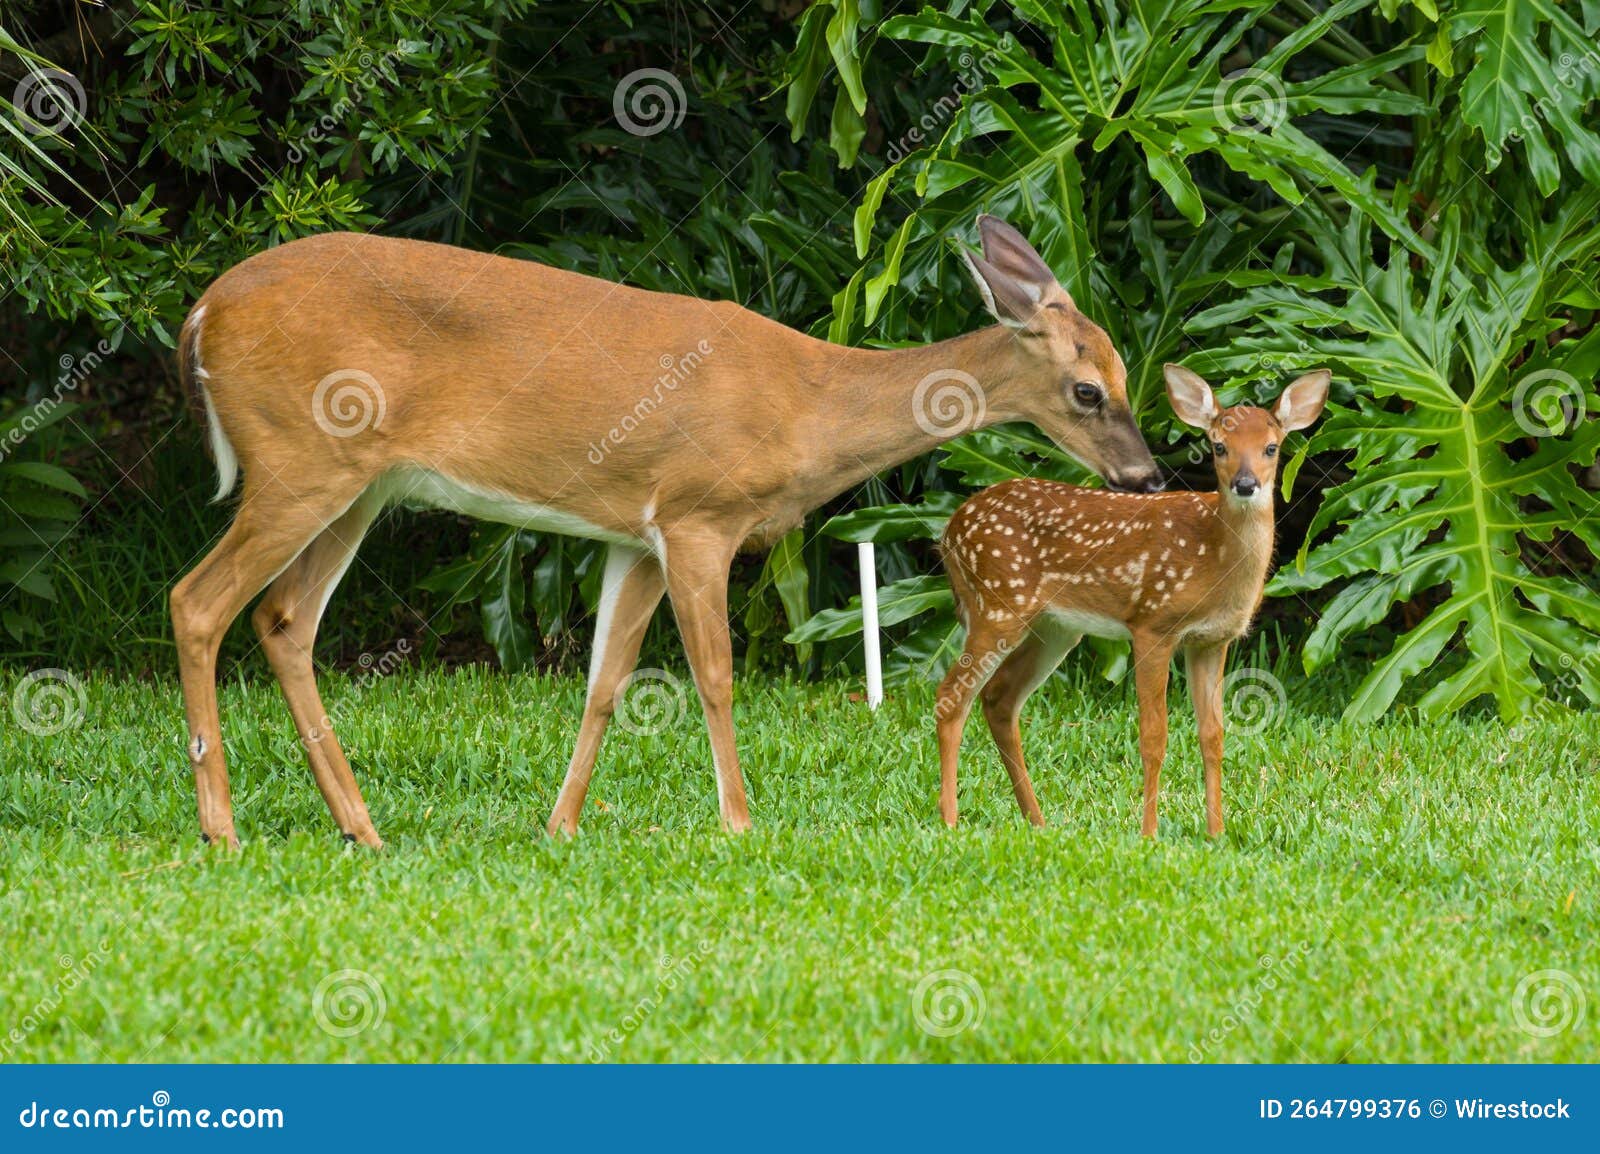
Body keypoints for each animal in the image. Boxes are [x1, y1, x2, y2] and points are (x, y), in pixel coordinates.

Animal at [169, 215, 1163, 849]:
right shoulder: (696, 516)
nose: (1147, 477)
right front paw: (740, 821)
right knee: (198, 601)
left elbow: (604, 684)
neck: (809, 405)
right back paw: (222, 828)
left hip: (361, 485)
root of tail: (202, 312)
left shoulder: (631, 534)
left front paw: (561, 825)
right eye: (1088, 390)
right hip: (299, 461)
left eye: (1125, 376)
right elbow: (715, 678)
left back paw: (361, 827)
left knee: (284, 620)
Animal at [935, 363, 1330, 838]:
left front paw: (1216, 833)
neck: (1213, 557)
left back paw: (1037, 820)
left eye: (1271, 447)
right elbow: (1153, 736)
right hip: (997, 603)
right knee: (951, 697)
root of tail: (950, 530)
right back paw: (950, 820)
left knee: (999, 699)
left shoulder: (1213, 640)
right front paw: (1149, 834)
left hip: (1054, 627)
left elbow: (1213, 735)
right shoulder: (1152, 623)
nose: (1245, 483)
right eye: (1219, 446)